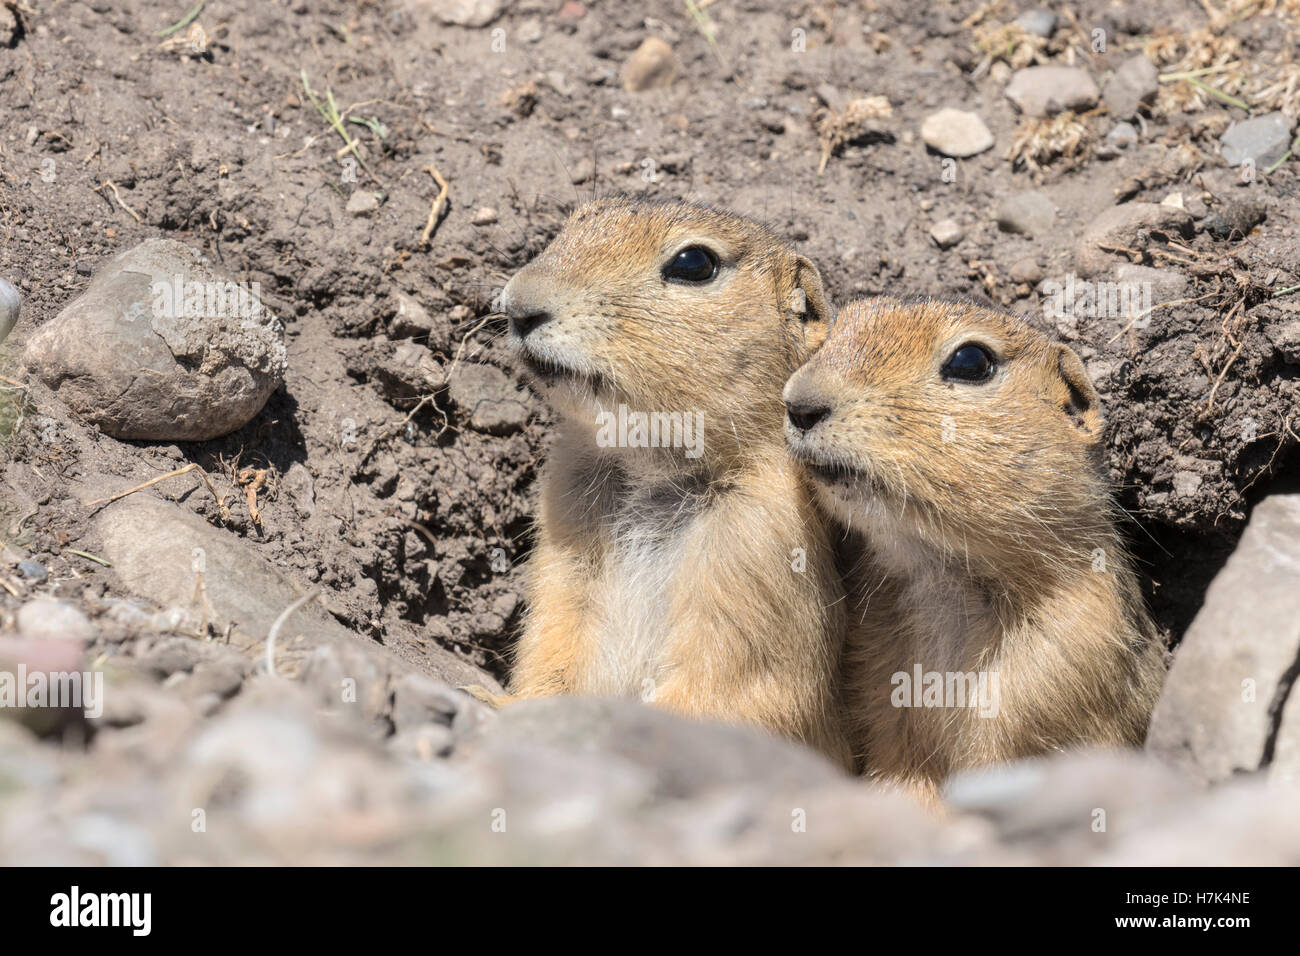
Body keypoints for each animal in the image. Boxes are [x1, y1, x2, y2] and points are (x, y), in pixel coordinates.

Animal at [481, 197, 852, 768]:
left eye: (694, 263)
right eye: (575, 220)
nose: (518, 304)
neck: (651, 470)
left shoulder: (756, 549)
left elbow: (729, 686)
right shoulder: (566, 540)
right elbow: (553, 643)